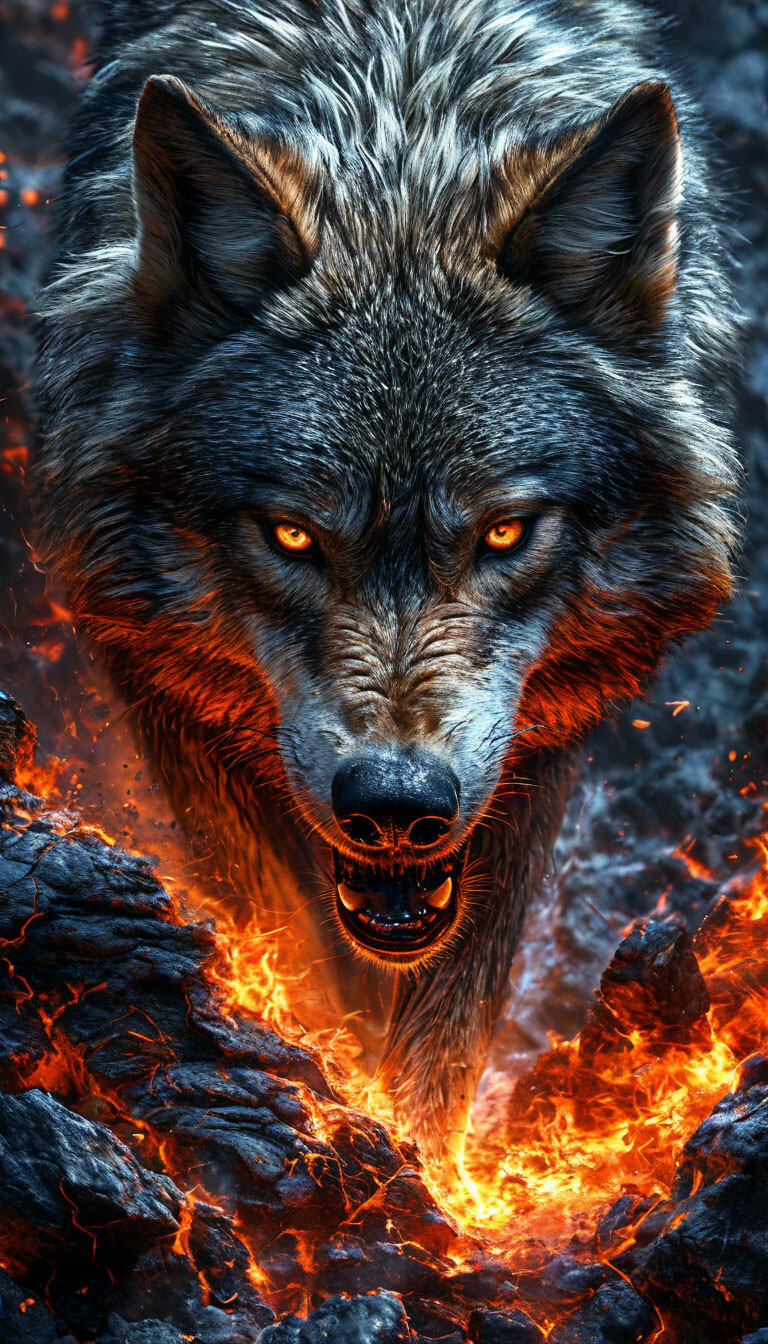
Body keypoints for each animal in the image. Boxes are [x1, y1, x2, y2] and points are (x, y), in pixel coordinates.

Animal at [35, 0, 740, 1156]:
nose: (397, 805)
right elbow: (280, 932)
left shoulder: (539, 748)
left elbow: (453, 1018)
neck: (399, 133)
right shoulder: (155, 676)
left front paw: (422, 1153)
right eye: (290, 536)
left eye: (504, 534)